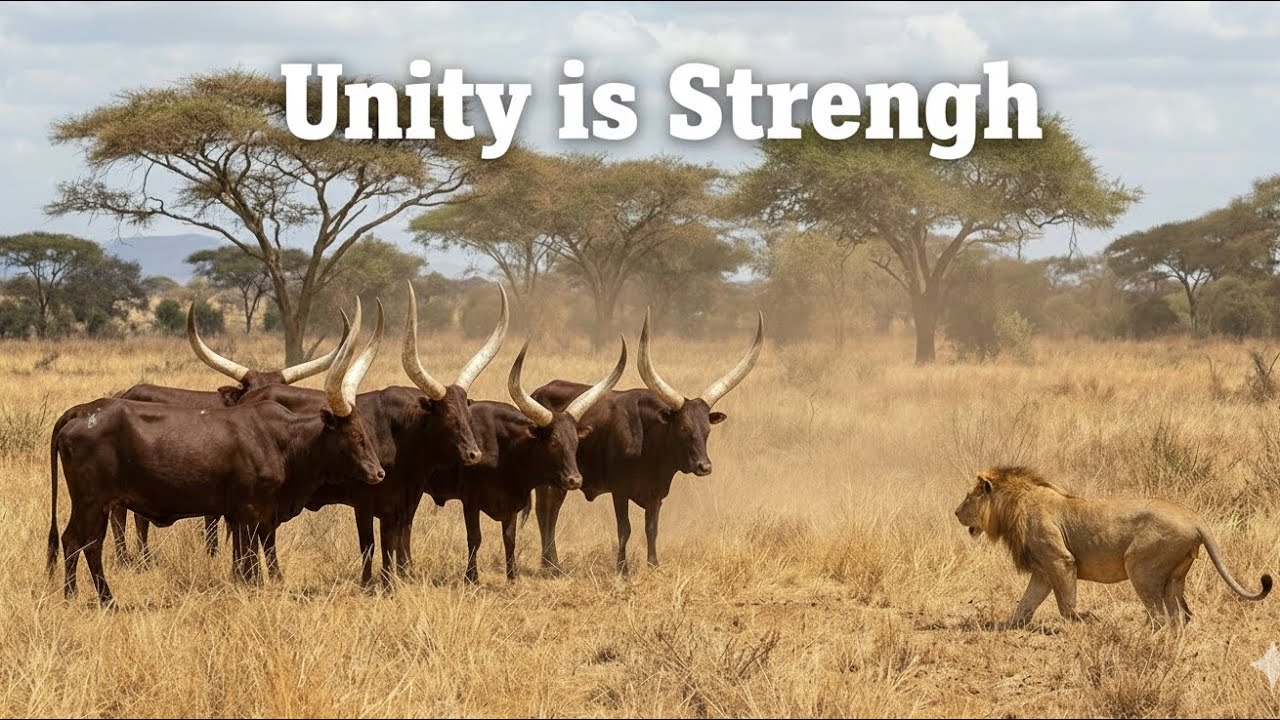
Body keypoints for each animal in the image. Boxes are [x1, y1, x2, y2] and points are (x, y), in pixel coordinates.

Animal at [954, 465, 1272, 628]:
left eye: (968, 497)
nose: (956, 513)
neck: (1012, 506)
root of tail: (1194, 518)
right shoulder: (1043, 571)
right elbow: (1025, 604)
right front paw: (1009, 627)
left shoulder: (1060, 561)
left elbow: (1066, 605)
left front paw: (1087, 620)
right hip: (1174, 576)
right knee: (1180, 615)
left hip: (1141, 568)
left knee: (1161, 616)